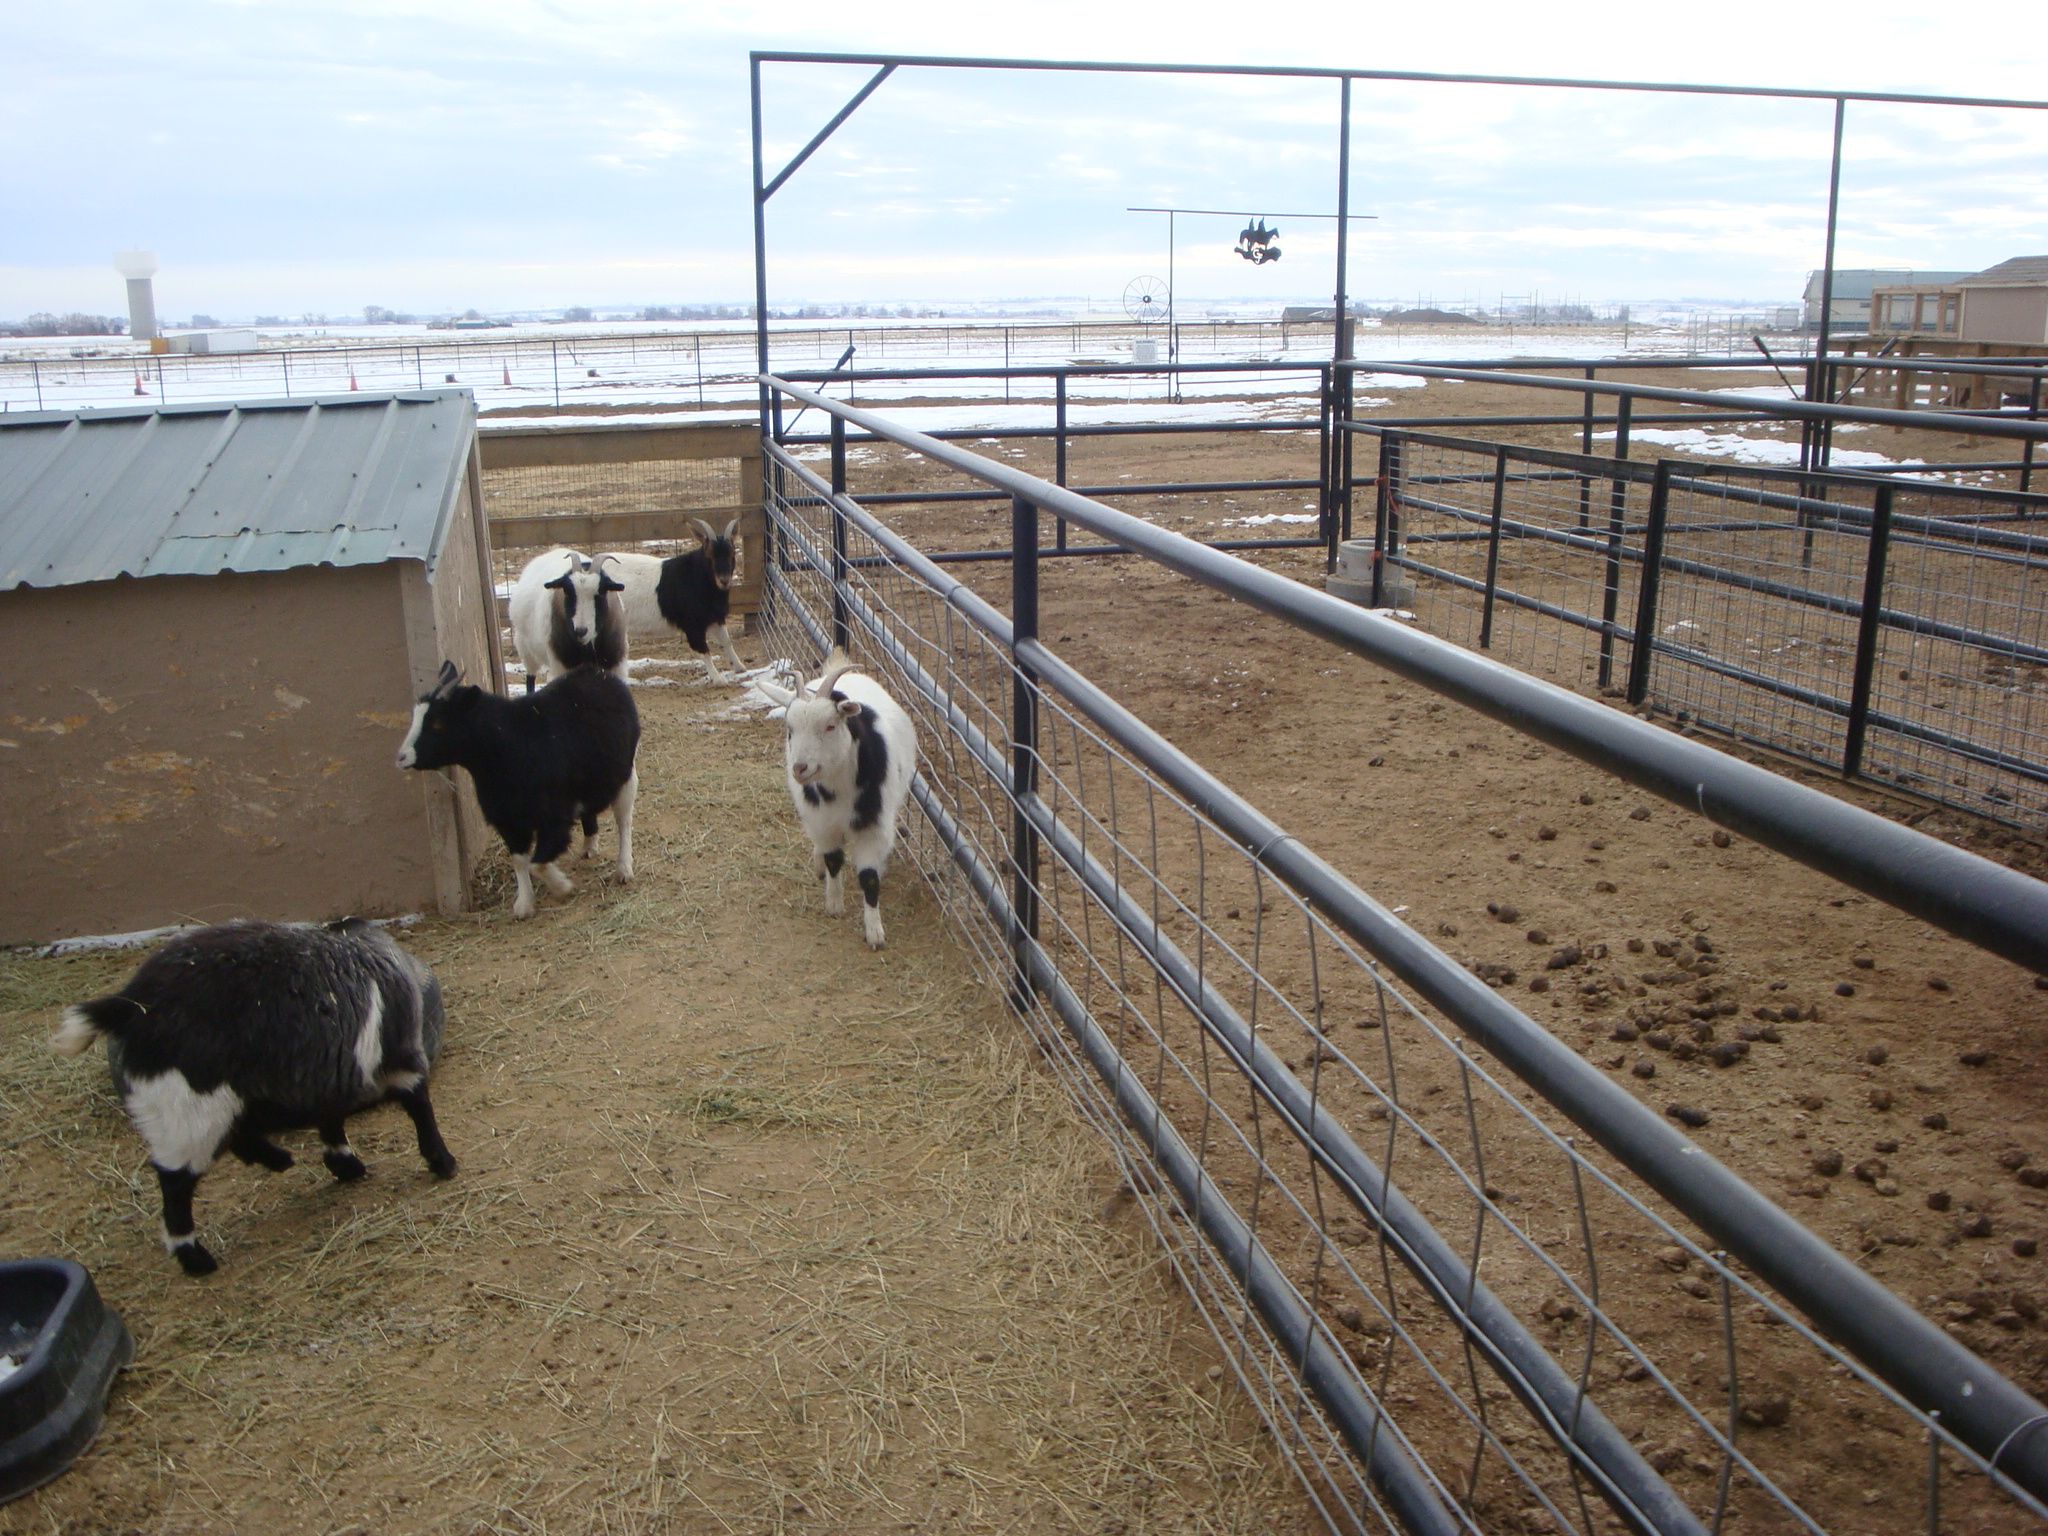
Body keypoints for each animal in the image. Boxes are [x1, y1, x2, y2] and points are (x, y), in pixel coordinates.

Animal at [52, 918, 454, 1276]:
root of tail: (133, 1004)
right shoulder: (402, 1058)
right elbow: (419, 1106)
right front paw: (442, 1161)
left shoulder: (326, 1071)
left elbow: (330, 1116)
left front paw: (344, 1164)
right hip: (192, 1105)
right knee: (176, 1179)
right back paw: (193, 1257)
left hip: (215, 1100)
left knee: (235, 1137)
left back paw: (276, 1160)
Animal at [396, 660, 640, 919]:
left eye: (438, 723)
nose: (401, 758)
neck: (511, 744)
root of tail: (596, 672)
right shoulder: (508, 820)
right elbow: (520, 861)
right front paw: (524, 904)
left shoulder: (553, 819)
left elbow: (537, 863)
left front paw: (562, 886)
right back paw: (589, 847)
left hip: (627, 776)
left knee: (624, 821)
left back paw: (624, 869)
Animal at [508, 547, 628, 694]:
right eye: (567, 591)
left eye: (601, 591)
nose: (580, 631)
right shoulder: (562, 666)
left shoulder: (615, 666)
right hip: (525, 649)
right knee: (530, 678)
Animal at [603, 518, 745, 682]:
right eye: (709, 554)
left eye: (732, 553)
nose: (724, 580)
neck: (696, 576)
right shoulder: (692, 624)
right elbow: (703, 649)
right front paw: (718, 679)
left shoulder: (716, 618)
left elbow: (726, 641)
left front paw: (740, 667)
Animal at [758, 649, 915, 949]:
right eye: (790, 729)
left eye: (830, 726)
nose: (800, 768)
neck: (839, 790)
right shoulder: (823, 822)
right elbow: (833, 859)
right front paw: (834, 904)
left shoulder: (873, 826)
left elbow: (869, 878)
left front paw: (875, 933)